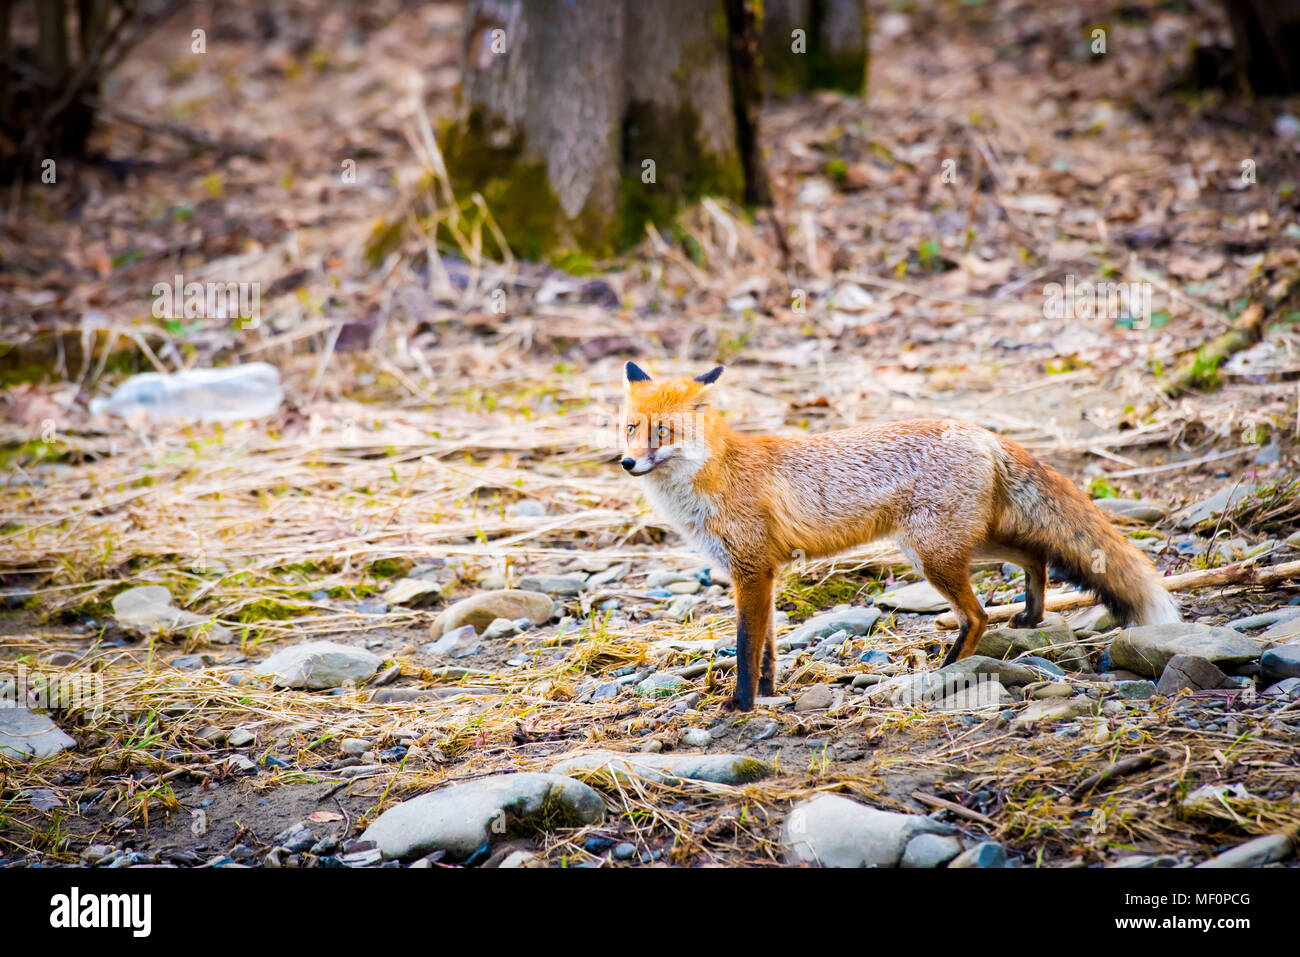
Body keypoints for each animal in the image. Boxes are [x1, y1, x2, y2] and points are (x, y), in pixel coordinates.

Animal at [619, 361, 1180, 711]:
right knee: (1036, 556)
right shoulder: (762, 575)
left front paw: (740, 704)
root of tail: (980, 431)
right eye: (630, 428)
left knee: (978, 614)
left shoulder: (752, 571)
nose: (627, 463)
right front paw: (768, 693)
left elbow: (744, 647)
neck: (714, 478)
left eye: (663, 432)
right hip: (967, 541)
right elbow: (768, 650)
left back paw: (947, 667)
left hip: (932, 555)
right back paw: (1030, 615)